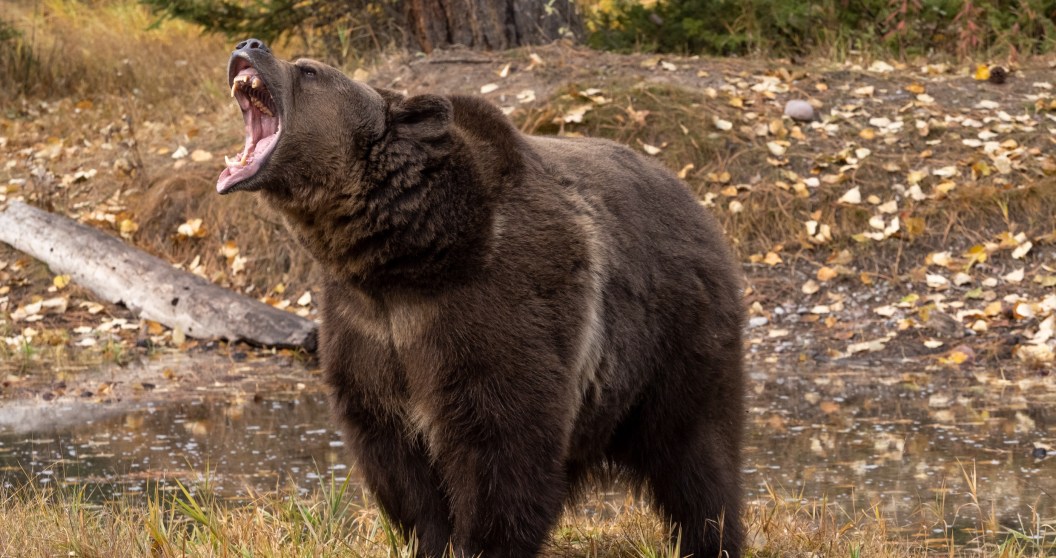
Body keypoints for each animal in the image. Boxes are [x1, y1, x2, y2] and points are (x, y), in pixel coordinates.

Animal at [217, 38, 746, 558]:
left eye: (309, 71)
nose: (250, 44)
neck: (405, 258)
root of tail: (695, 200)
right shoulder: (367, 328)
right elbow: (395, 456)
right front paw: (430, 538)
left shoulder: (495, 305)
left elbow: (501, 444)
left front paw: (483, 543)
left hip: (676, 337)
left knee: (697, 456)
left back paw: (711, 538)